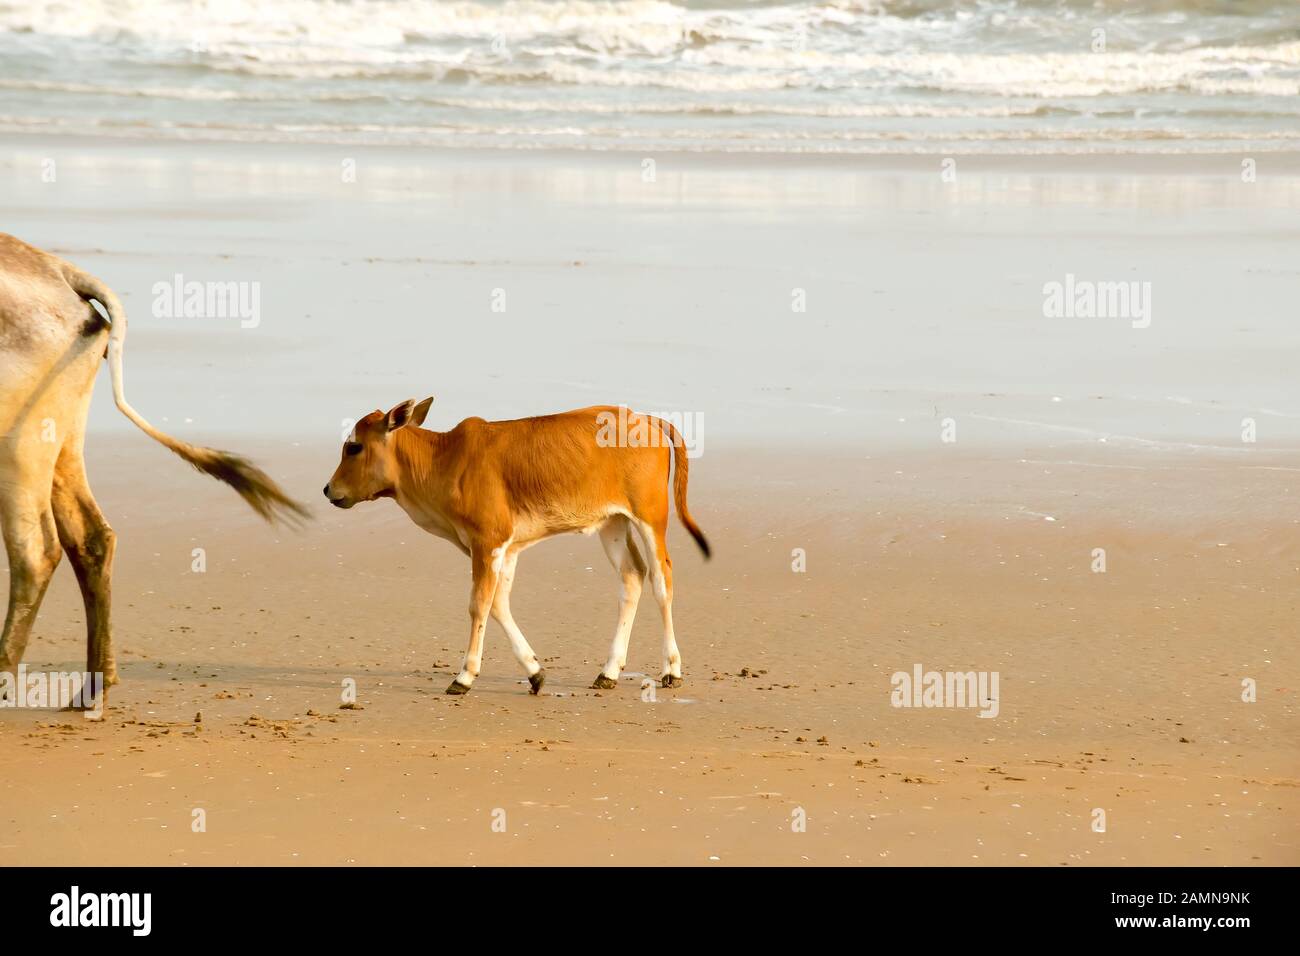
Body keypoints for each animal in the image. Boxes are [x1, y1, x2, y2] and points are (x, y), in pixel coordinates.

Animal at [0, 233, 306, 703]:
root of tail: (59, 270)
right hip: (59, 436)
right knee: (91, 538)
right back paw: (94, 687)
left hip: (18, 445)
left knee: (35, 554)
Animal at [323, 400, 710, 695]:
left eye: (354, 446)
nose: (328, 489)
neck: (444, 460)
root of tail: (644, 417)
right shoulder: (505, 549)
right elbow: (497, 605)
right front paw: (534, 671)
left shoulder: (488, 543)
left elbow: (479, 605)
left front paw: (464, 676)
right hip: (612, 523)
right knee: (631, 578)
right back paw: (609, 670)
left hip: (650, 519)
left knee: (661, 580)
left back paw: (671, 669)